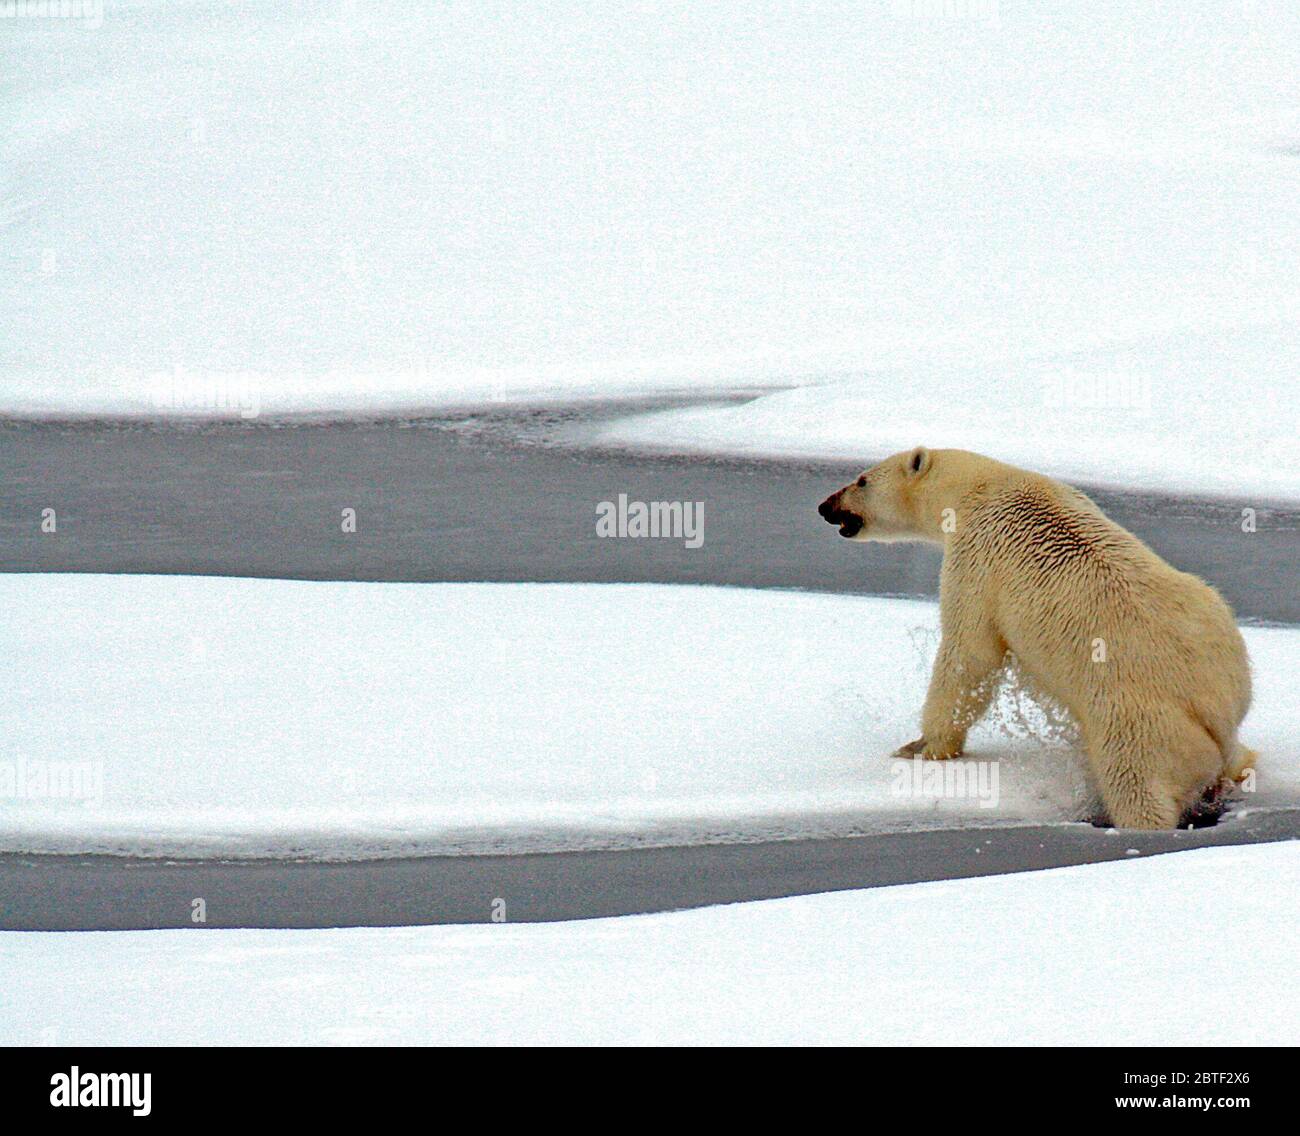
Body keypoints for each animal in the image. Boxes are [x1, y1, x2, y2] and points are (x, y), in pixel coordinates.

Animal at [818, 446, 1255, 829]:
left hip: (1137, 723)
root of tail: (1212, 706)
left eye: (861, 480)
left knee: (1135, 785)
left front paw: (923, 746)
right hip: (1216, 626)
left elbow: (970, 655)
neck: (981, 488)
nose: (825, 506)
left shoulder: (976, 558)